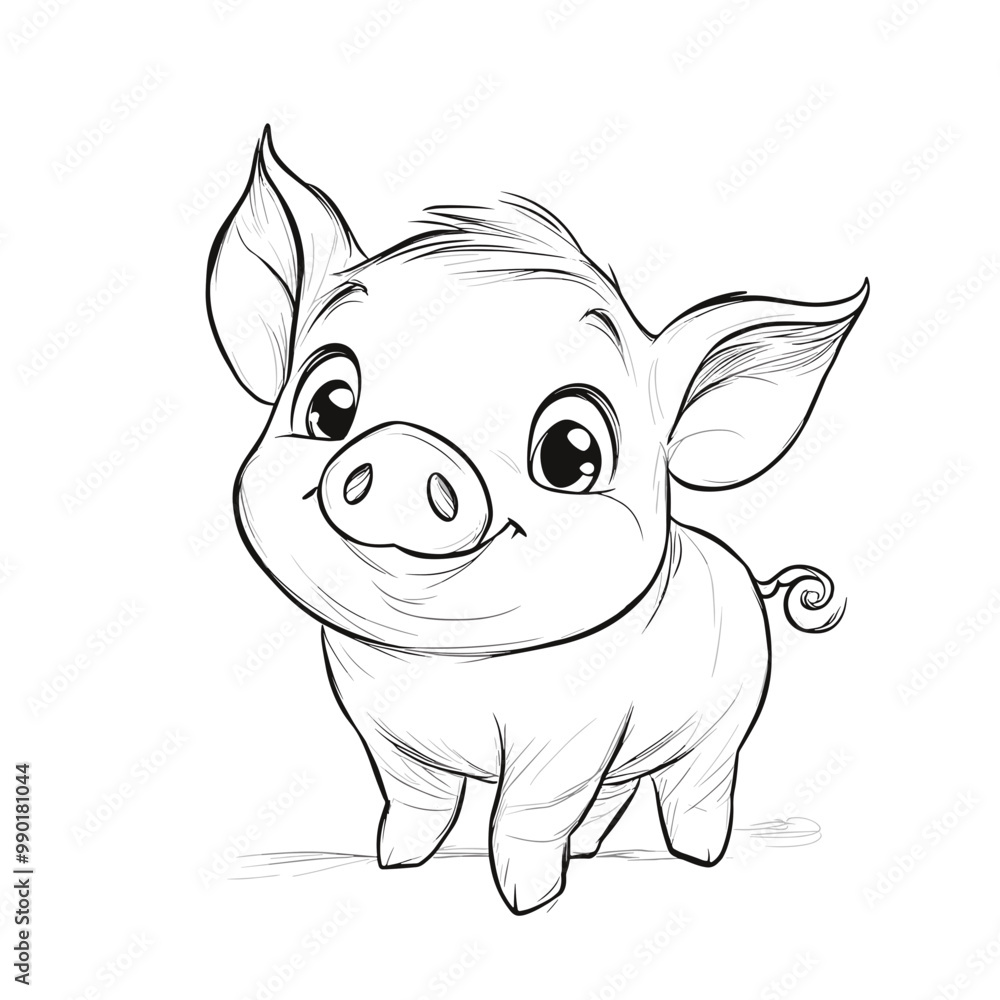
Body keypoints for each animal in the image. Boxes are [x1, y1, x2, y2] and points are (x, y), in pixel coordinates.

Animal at [207, 126, 868, 914]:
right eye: (329, 404)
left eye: (571, 451)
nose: (407, 446)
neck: (451, 665)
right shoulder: (379, 725)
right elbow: (416, 798)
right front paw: (395, 864)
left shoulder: (573, 734)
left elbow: (526, 813)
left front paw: (526, 903)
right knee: (617, 794)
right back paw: (591, 853)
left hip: (728, 713)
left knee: (698, 784)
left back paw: (699, 857)